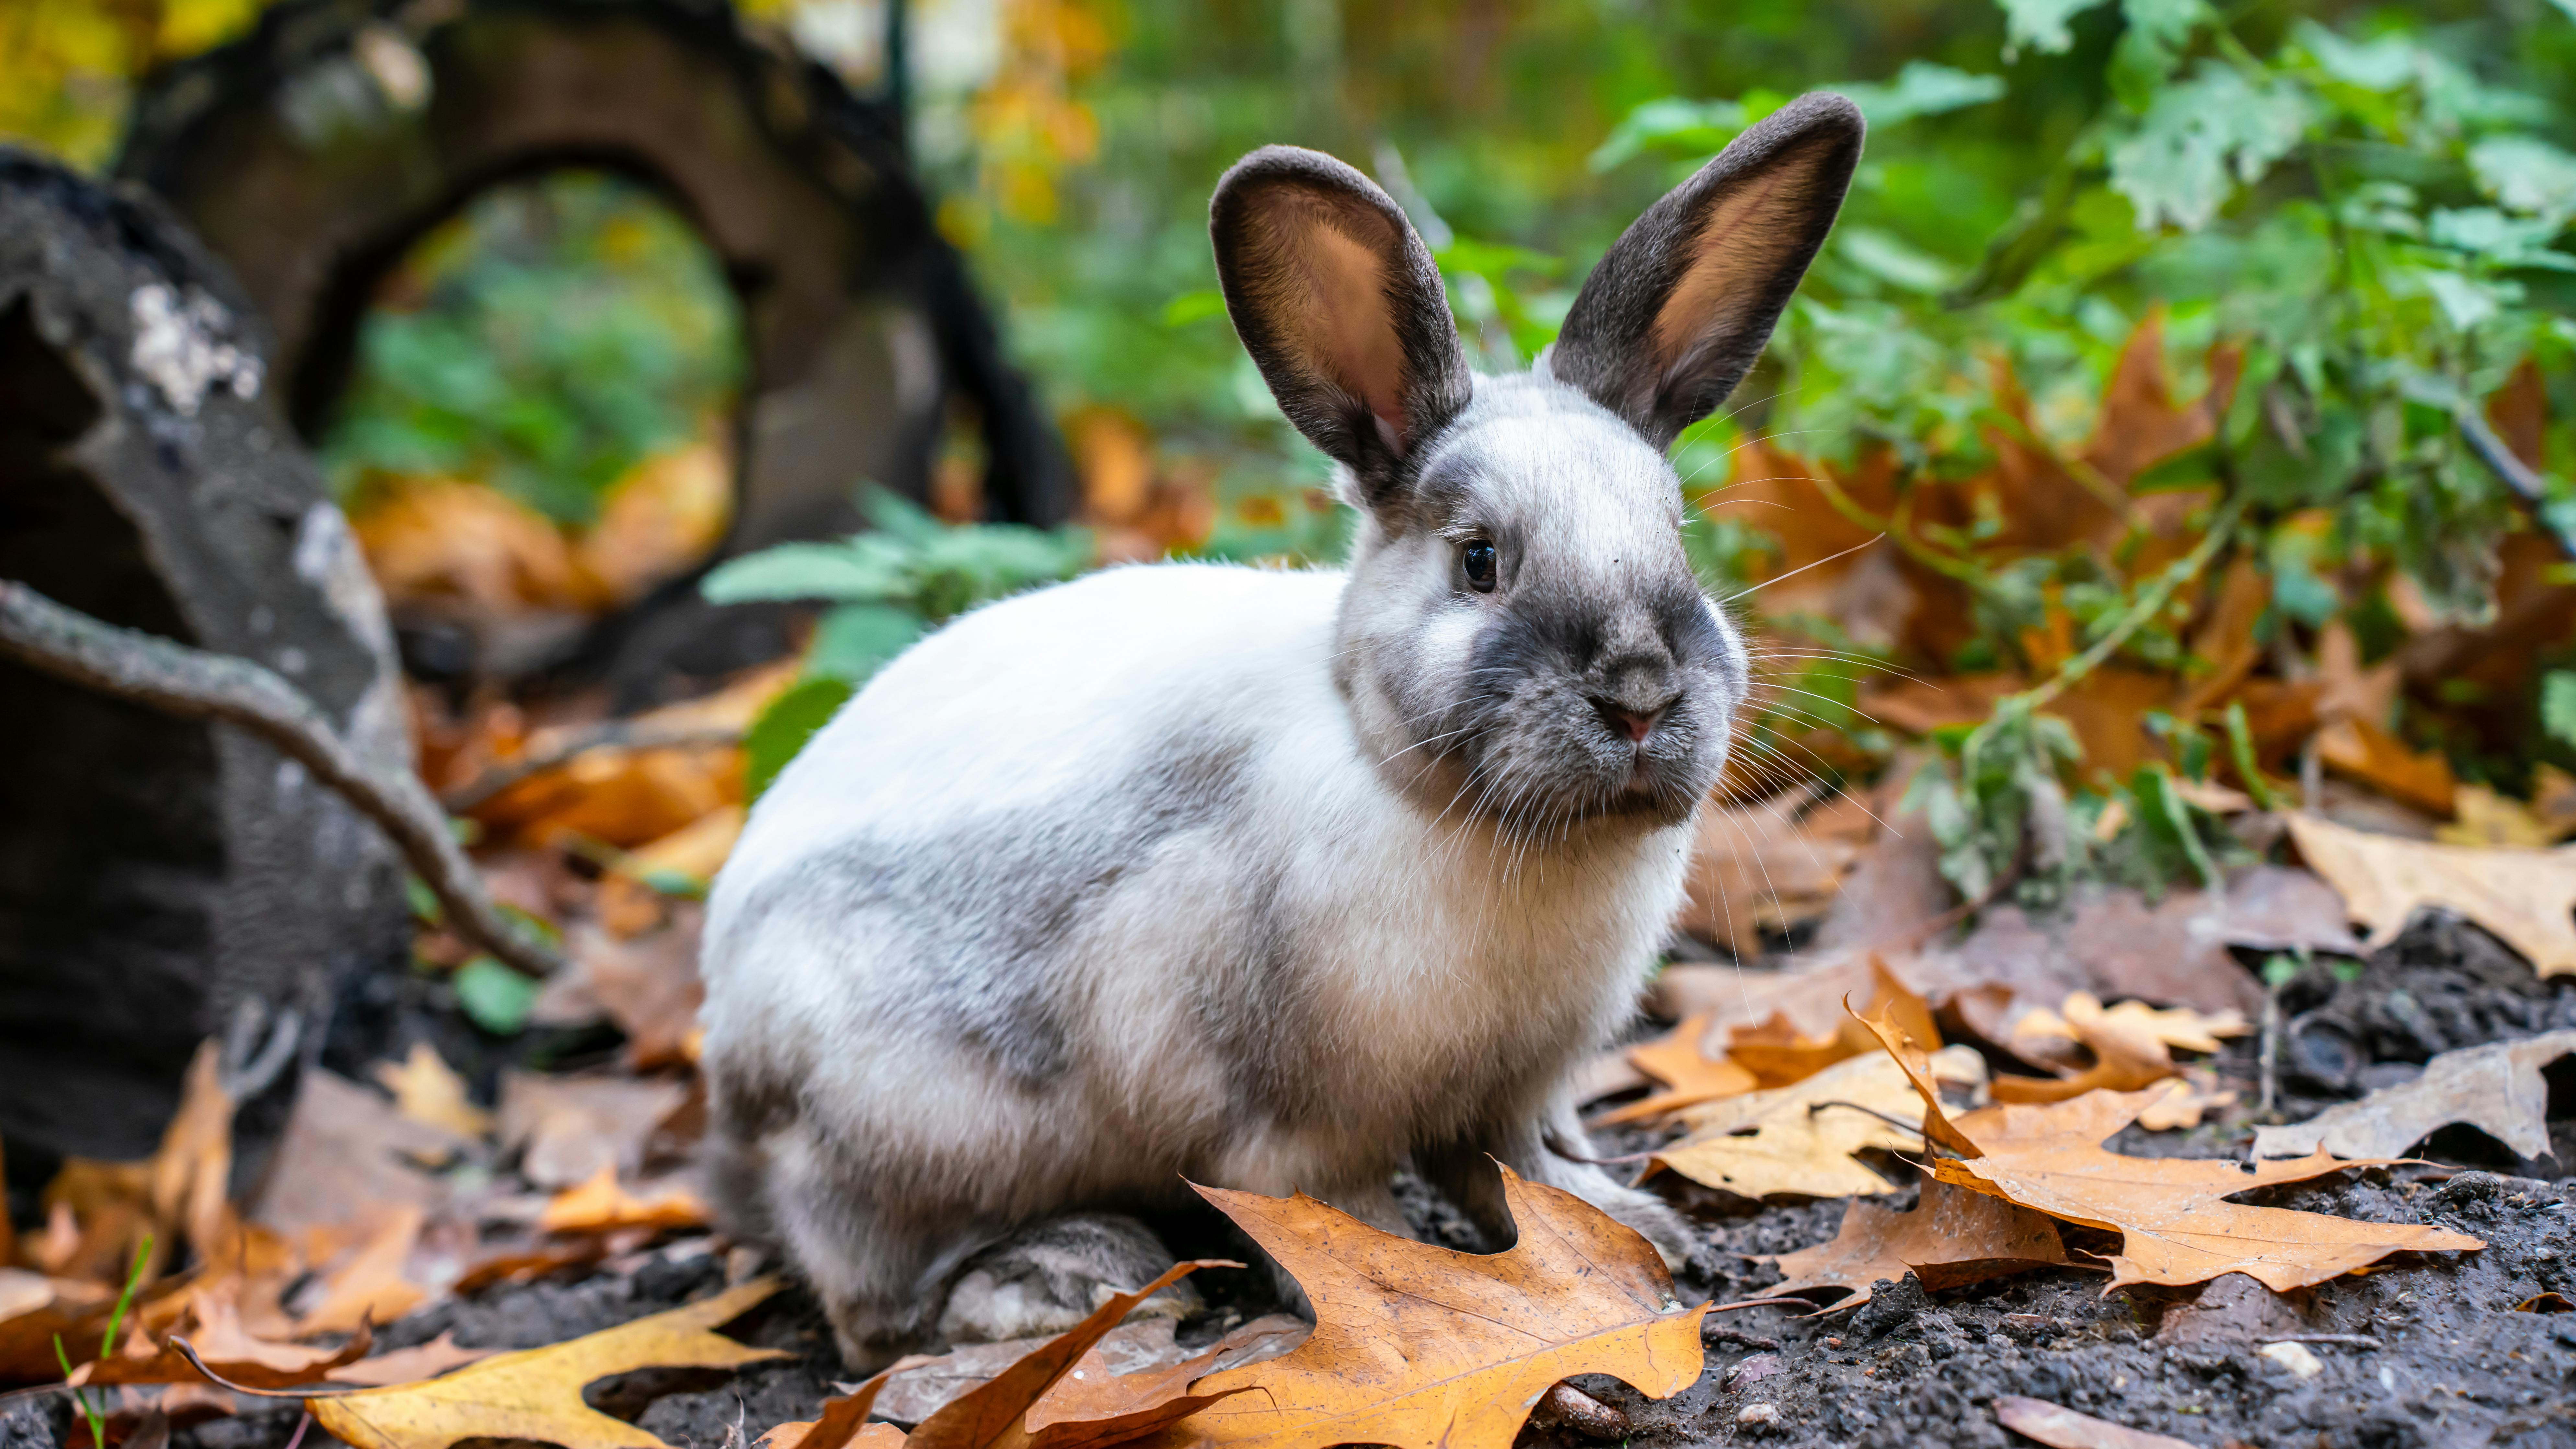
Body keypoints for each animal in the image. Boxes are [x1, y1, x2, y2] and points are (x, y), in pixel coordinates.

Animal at [698, 92, 1863, 1370]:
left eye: (1675, 539)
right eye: (1478, 562)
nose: (1642, 690)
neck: (1429, 791)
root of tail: (728, 1054)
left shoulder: (1514, 1088)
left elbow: (1523, 1173)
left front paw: (1635, 1228)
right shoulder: (1296, 1129)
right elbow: (1339, 1216)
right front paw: (1397, 1298)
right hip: (906, 1131)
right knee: (870, 1307)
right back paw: (1053, 1276)